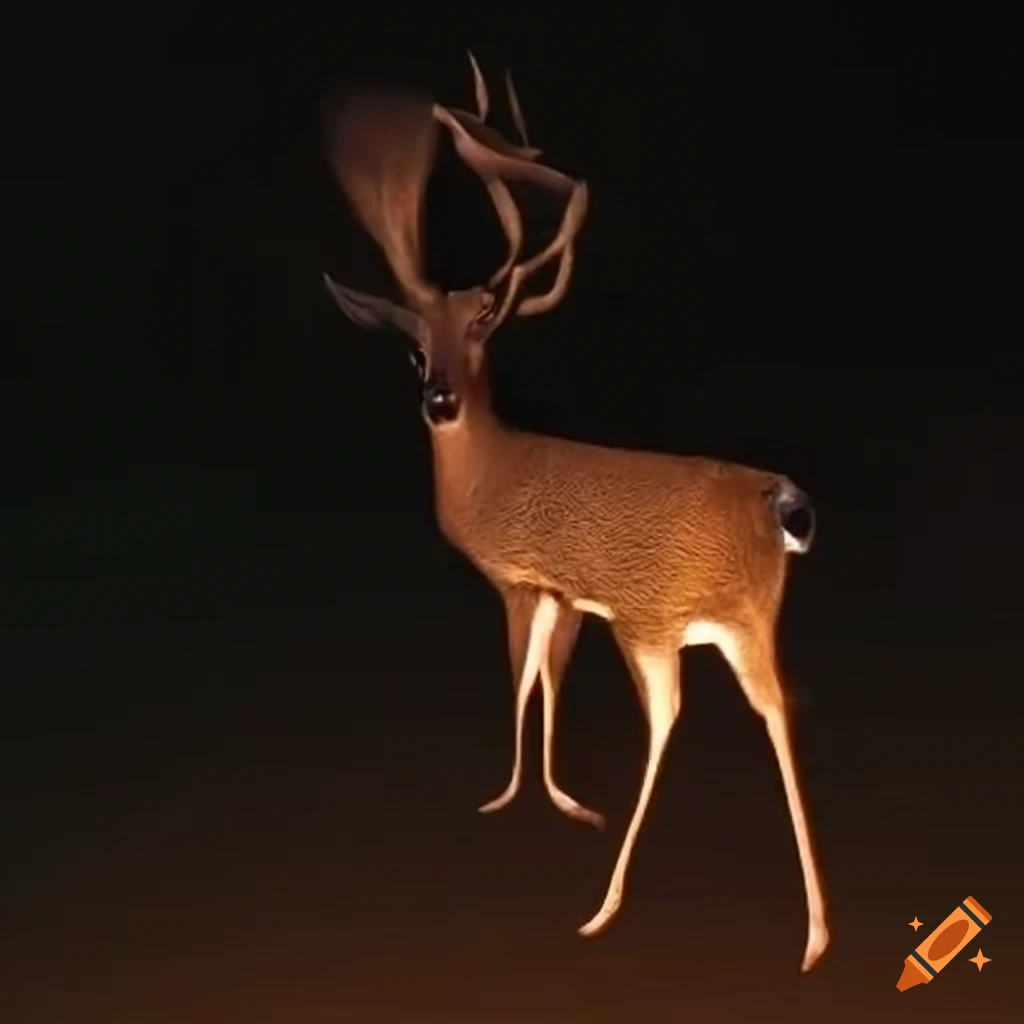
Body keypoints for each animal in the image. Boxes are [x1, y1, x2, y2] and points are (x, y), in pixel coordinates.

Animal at [321, 53, 829, 973]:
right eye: (413, 348)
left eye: (482, 328)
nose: (439, 399)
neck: (493, 471)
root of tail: (776, 496)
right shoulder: (567, 594)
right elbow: (548, 681)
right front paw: (551, 798)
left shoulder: (525, 581)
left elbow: (521, 677)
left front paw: (514, 796)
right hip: (744, 618)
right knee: (778, 711)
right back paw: (815, 935)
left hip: (654, 617)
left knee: (669, 722)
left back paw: (606, 905)